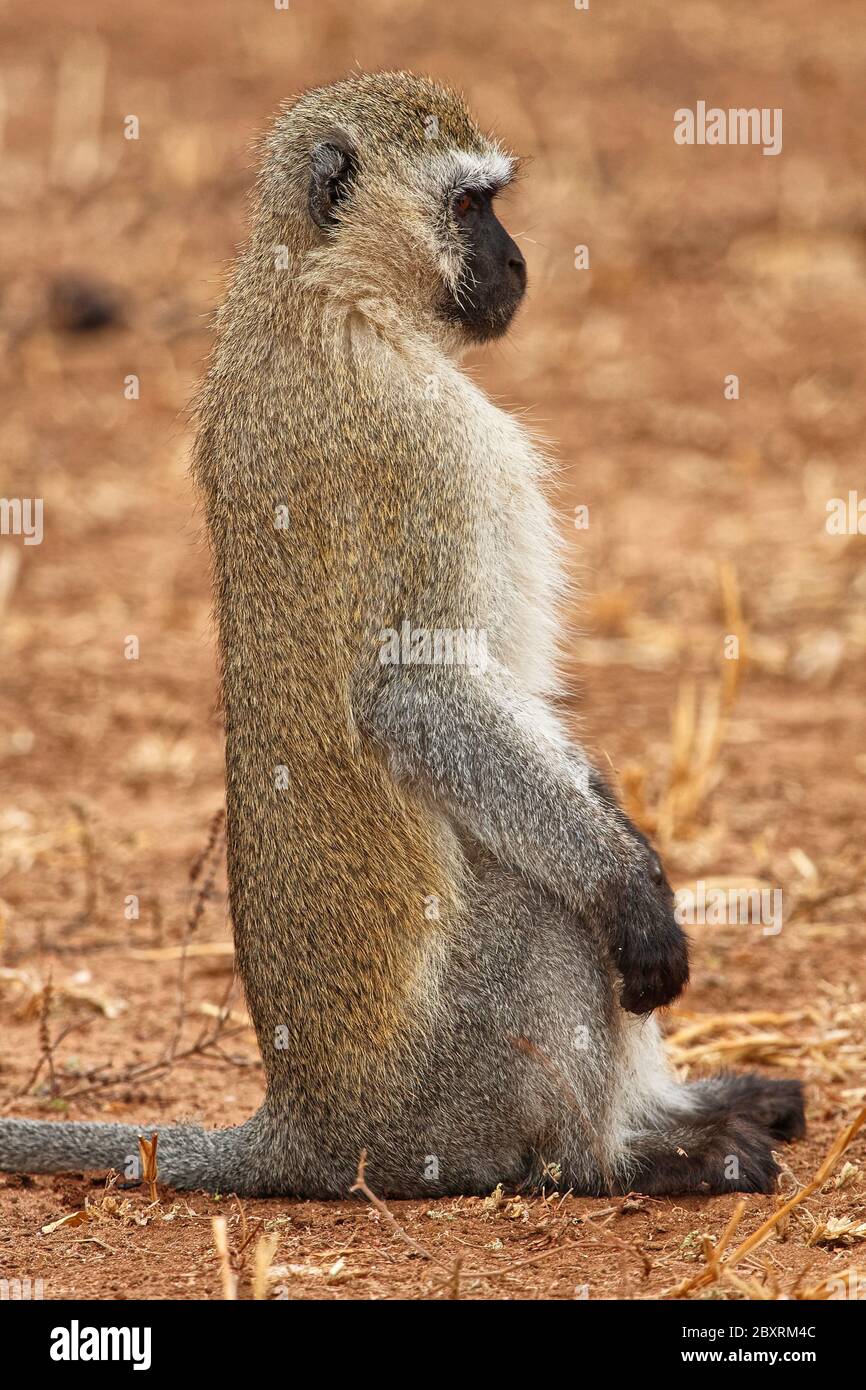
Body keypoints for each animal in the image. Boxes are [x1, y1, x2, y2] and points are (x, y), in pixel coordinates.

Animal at [0, 72, 804, 1198]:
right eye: (469, 206)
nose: (519, 262)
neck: (329, 294)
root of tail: (312, 1122)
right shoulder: (423, 453)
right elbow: (417, 695)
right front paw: (632, 886)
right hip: (446, 1094)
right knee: (543, 901)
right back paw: (618, 1154)